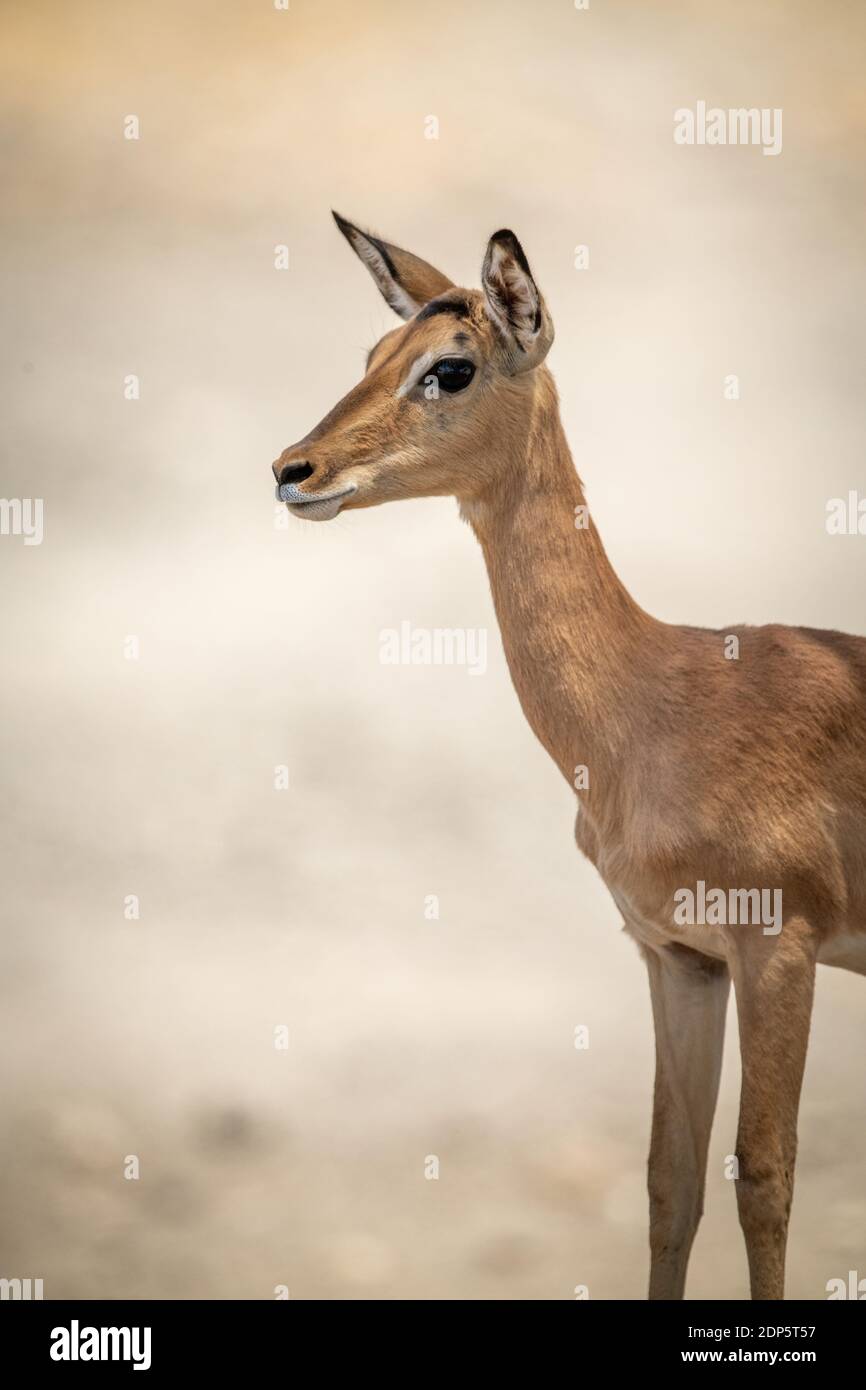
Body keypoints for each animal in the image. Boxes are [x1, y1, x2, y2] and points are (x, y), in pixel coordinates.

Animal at [272, 213, 866, 1299]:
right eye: (373, 351)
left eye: (450, 367)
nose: (294, 470)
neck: (657, 707)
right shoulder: (679, 957)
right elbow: (670, 1180)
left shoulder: (779, 951)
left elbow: (764, 1177)